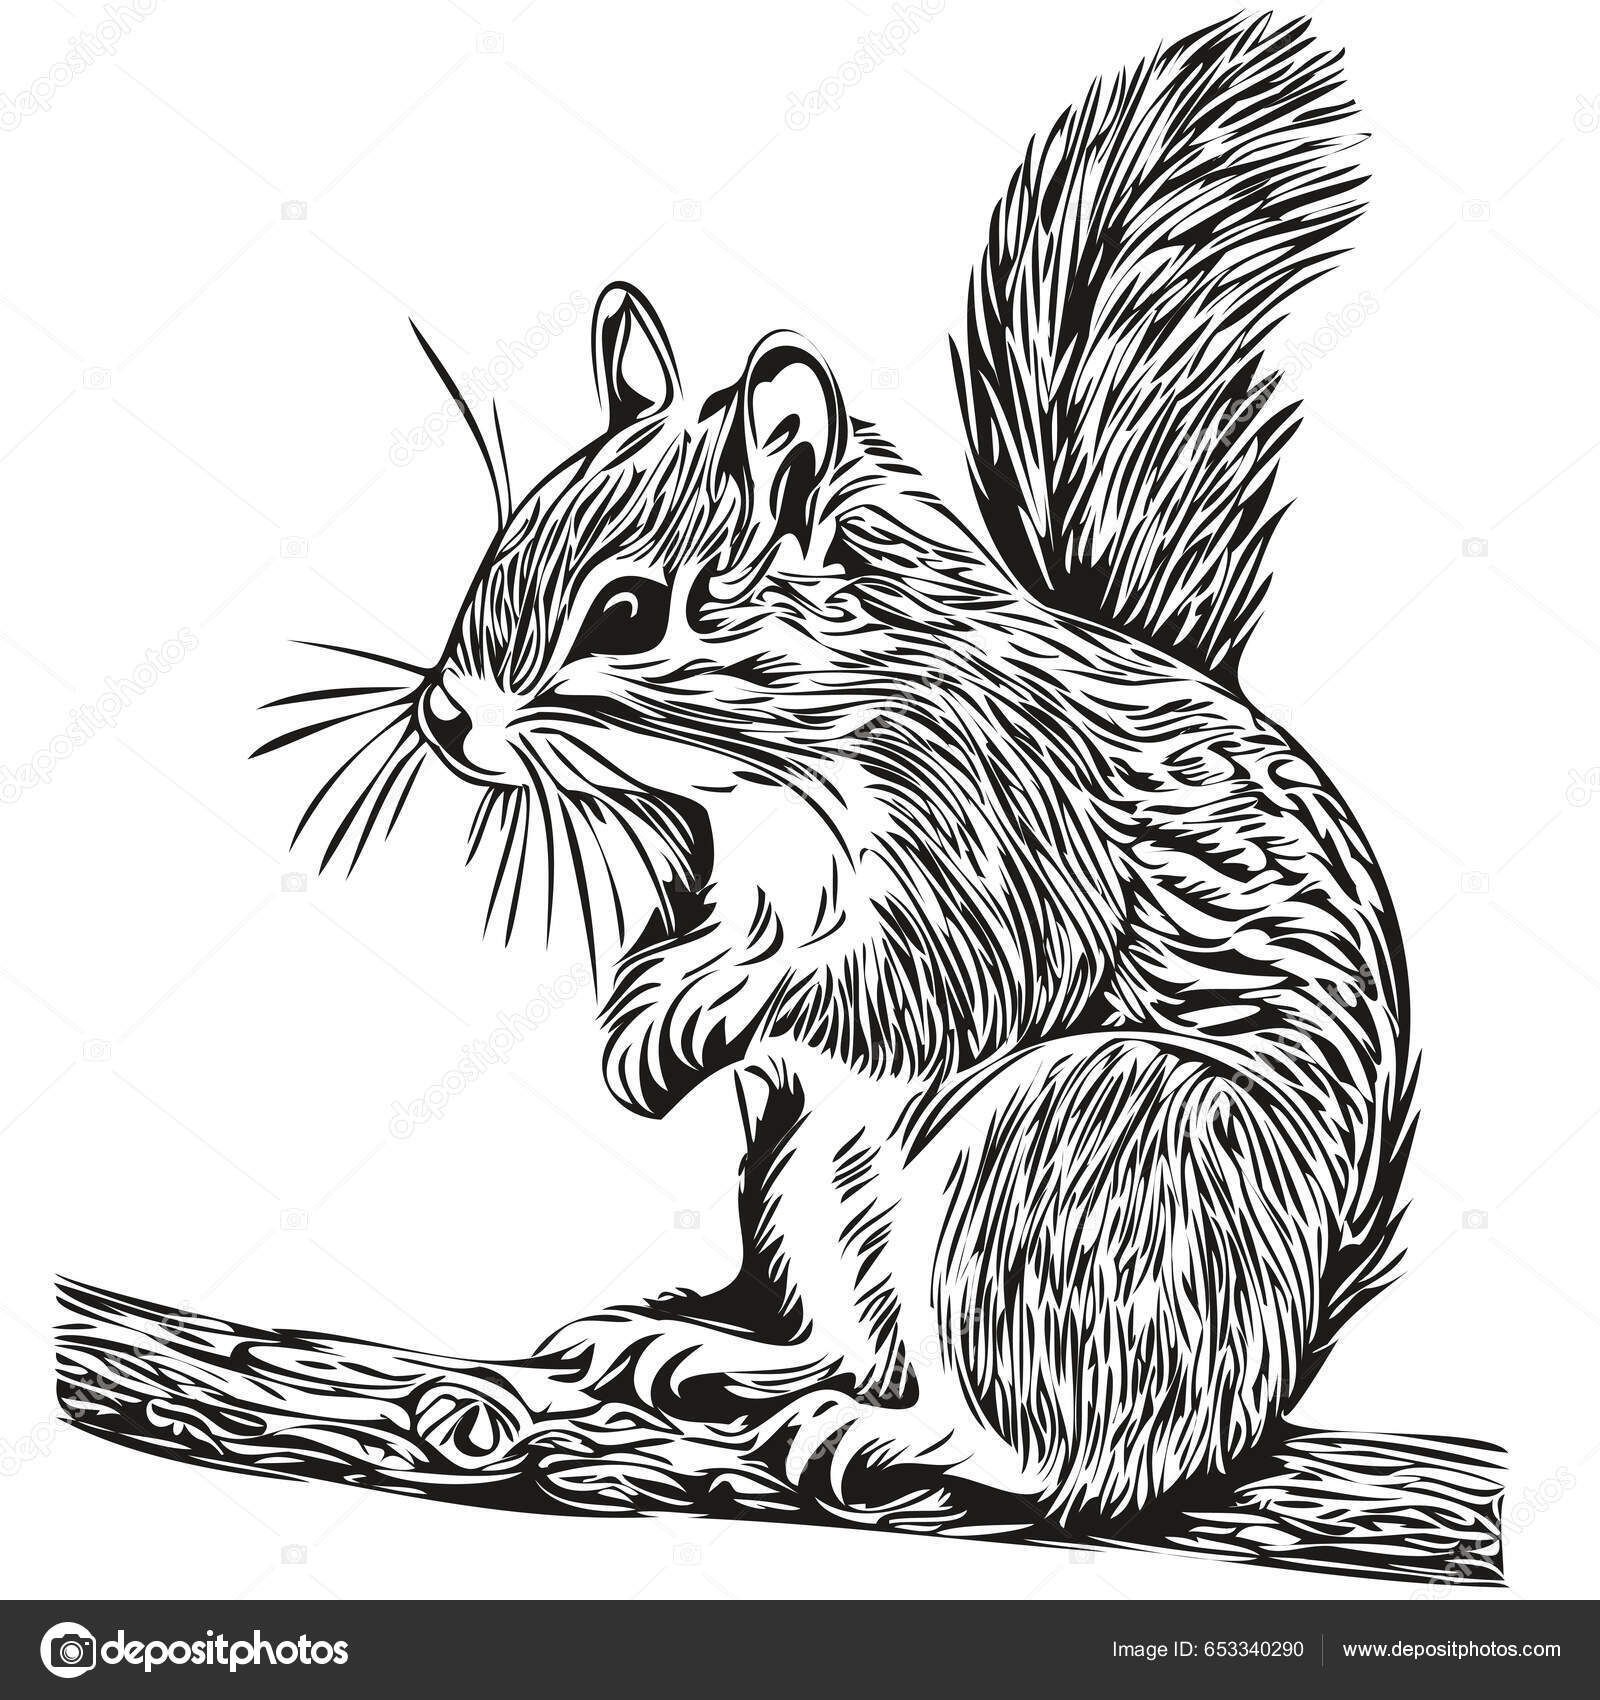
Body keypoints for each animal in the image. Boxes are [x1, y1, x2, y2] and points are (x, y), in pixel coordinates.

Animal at [282, 14, 1414, 1526]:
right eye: (505, 536)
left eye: (631, 612)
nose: (446, 720)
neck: (779, 772)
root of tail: (1267, 1368)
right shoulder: (738, 880)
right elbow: (711, 945)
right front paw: (644, 1026)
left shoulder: (1005, 824)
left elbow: (934, 976)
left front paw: (714, 1013)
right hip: (814, 1171)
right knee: (860, 1340)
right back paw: (712, 1352)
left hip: (1086, 1166)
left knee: (1077, 1445)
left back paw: (910, 1437)